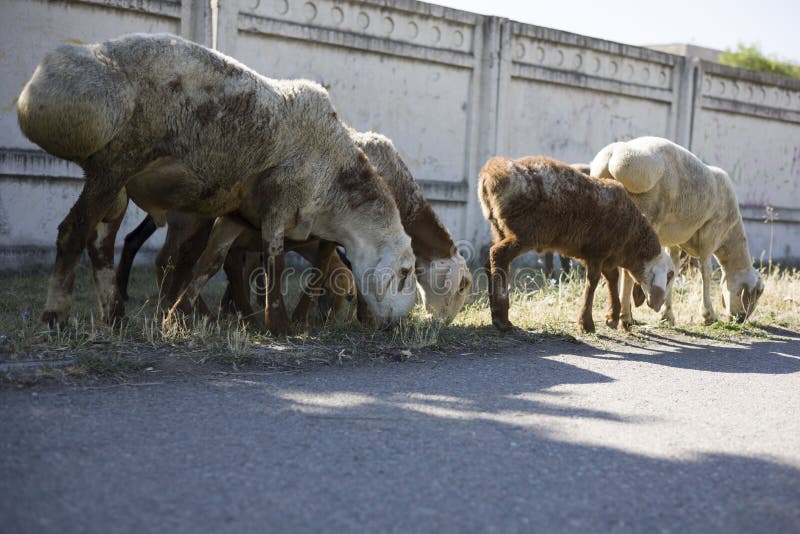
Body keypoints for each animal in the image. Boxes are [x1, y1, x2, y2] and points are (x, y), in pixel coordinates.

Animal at [16, 33, 417, 334]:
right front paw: (279, 326)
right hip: (114, 164)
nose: (401, 322)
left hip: (113, 184)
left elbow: (210, 263)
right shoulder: (279, 204)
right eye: (405, 272)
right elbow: (274, 263)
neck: (335, 180)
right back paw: (55, 317)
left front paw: (178, 316)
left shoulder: (239, 214)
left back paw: (115, 316)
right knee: (73, 231)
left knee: (100, 243)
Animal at [479, 156, 675, 333]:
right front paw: (586, 323)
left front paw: (612, 316)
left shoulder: (606, 256)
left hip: (498, 228)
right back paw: (502, 320)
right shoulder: (598, 250)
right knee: (498, 255)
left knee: (489, 262)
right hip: (526, 232)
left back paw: (495, 314)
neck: (633, 237)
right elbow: (593, 281)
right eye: (669, 276)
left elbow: (612, 278)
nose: (658, 305)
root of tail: (491, 174)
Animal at [590, 136, 764, 326]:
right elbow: (706, 270)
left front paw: (667, 315)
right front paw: (708, 314)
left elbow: (674, 268)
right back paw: (626, 317)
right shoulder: (711, 231)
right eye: (757, 293)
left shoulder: (673, 240)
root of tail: (613, 157)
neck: (730, 235)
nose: (741, 319)